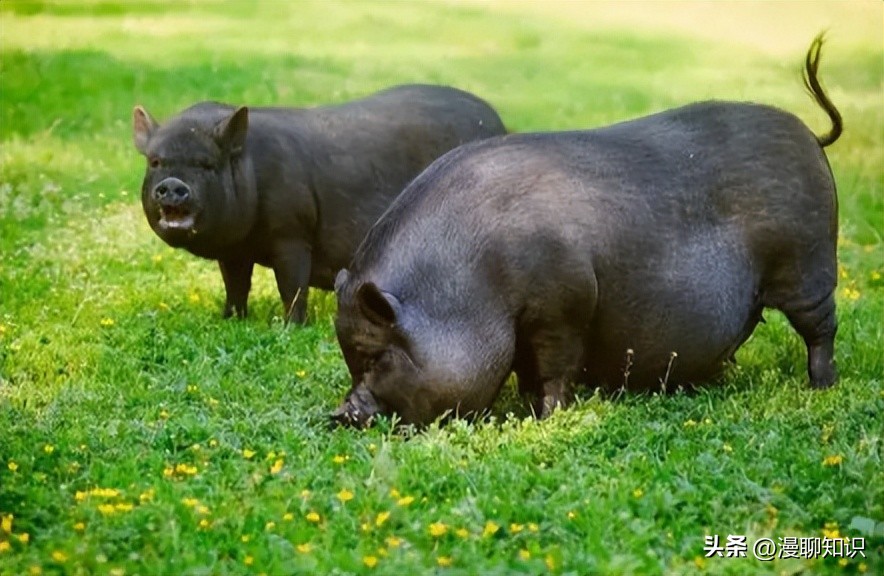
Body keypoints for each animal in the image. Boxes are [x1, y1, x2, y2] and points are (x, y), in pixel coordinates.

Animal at [132, 85, 506, 323]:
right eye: (155, 162)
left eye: (205, 164)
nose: (172, 185)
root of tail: (498, 121)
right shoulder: (234, 251)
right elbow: (236, 285)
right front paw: (229, 319)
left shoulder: (293, 234)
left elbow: (292, 285)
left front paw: (290, 326)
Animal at [332, 35, 842, 427]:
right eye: (351, 360)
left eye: (377, 357)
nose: (341, 413)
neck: (477, 281)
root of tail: (809, 134)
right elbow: (527, 369)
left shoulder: (564, 305)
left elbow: (554, 366)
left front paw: (545, 417)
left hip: (807, 265)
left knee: (821, 328)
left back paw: (821, 386)